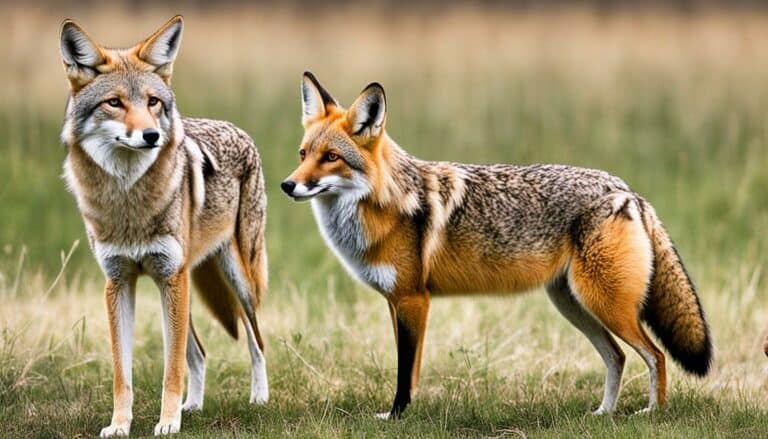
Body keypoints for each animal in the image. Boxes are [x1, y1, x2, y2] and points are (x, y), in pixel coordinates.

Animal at [59, 16, 269, 436]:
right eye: (115, 103)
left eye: (152, 102)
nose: (152, 135)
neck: (129, 203)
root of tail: (235, 127)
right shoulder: (119, 283)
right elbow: (122, 375)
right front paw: (120, 426)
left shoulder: (171, 277)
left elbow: (171, 370)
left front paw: (168, 424)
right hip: (178, 289)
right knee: (199, 352)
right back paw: (195, 406)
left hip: (235, 279)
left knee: (257, 341)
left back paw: (258, 398)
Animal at [281, 72, 713, 419]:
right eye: (303, 154)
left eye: (331, 157)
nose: (288, 185)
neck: (385, 204)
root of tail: (625, 189)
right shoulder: (396, 301)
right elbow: (411, 370)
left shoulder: (413, 300)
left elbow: (406, 373)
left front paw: (396, 417)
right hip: (575, 304)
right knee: (618, 357)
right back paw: (604, 414)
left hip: (605, 304)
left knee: (656, 355)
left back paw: (651, 414)